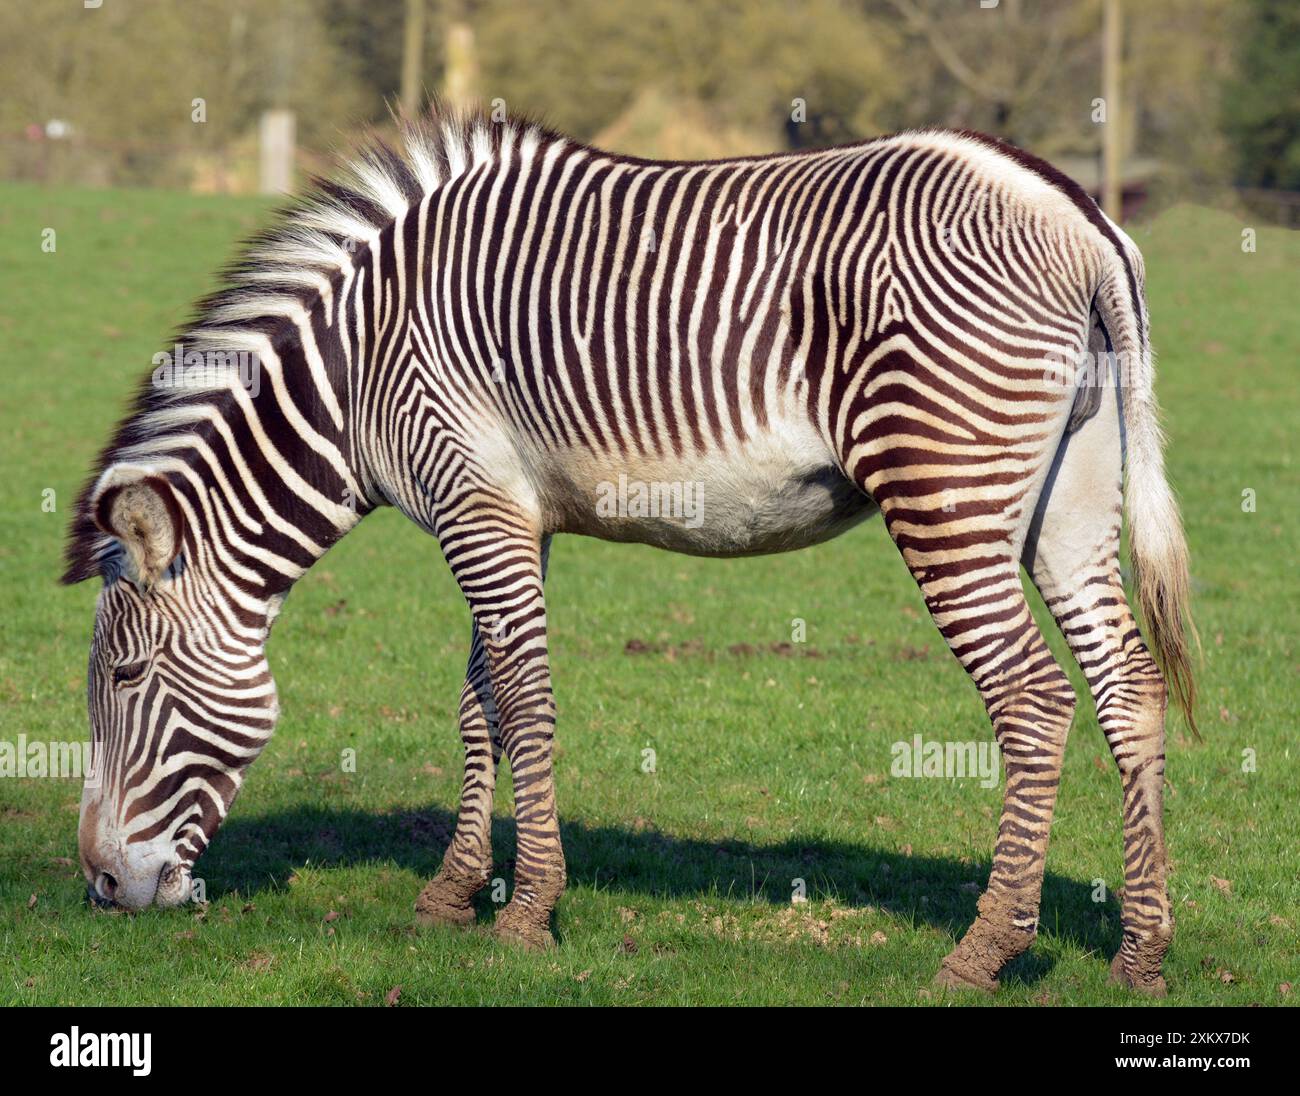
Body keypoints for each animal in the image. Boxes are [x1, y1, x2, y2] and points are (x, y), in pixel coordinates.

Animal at [64, 105, 1195, 994]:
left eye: (123, 676)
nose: (104, 888)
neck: (358, 367)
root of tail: (1080, 214)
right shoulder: (512, 513)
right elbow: (480, 699)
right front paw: (454, 891)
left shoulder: (473, 502)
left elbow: (522, 700)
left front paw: (527, 914)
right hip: (1069, 496)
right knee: (1126, 684)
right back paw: (1140, 951)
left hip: (943, 488)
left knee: (1034, 700)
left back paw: (983, 949)